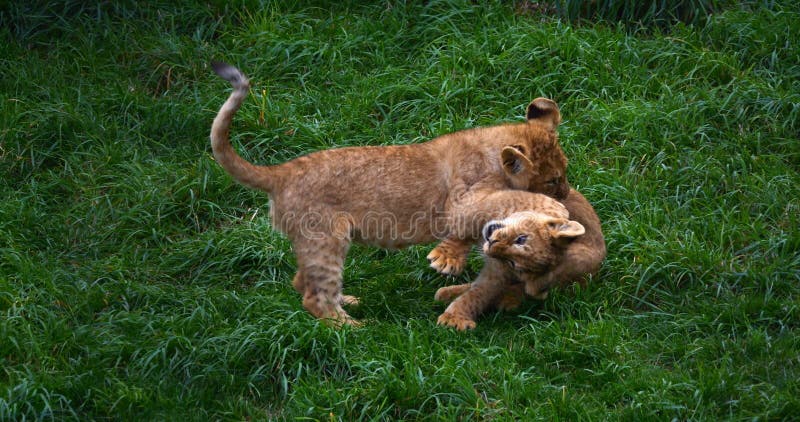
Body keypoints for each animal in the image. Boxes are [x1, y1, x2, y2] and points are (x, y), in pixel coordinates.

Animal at [209, 62, 570, 325]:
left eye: (564, 171)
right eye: (554, 180)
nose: (567, 193)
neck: (493, 149)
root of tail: (281, 172)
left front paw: (451, 259)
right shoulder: (461, 201)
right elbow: (499, 202)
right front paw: (550, 207)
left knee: (302, 282)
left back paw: (348, 302)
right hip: (325, 238)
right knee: (314, 296)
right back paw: (352, 329)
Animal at [434, 189, 606, 330]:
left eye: (511, 262)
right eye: (521, 239)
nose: (491, 246)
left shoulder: (497, 271)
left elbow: (478, 294)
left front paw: (453, 317)